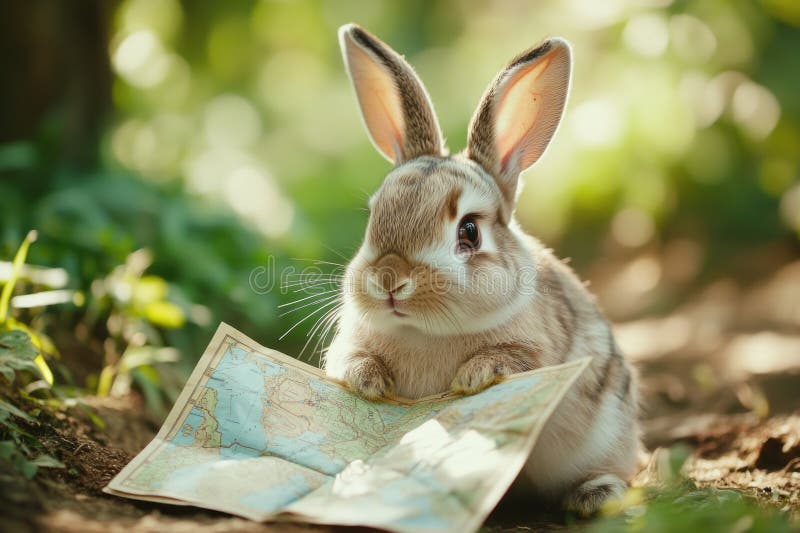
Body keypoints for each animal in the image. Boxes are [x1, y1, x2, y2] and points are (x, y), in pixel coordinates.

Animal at [323, 23, 640, 516]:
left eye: (469, 231)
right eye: (373, 216)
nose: (389, 280)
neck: (423, 333)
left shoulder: (540, 351)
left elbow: (515, 358)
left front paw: (473, 377)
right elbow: (347, 358)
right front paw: (368, 380)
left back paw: (596, 495)